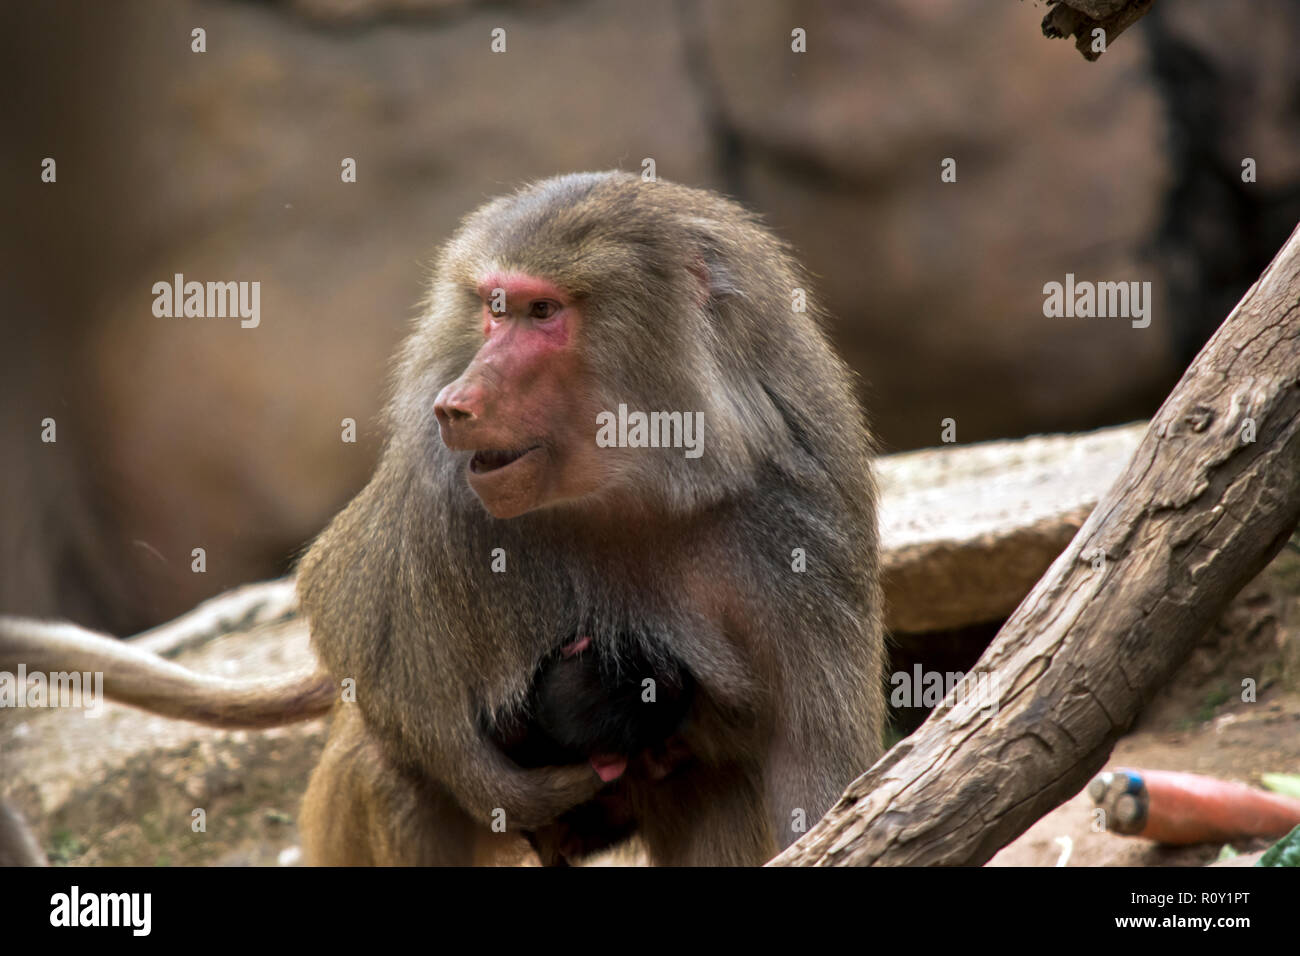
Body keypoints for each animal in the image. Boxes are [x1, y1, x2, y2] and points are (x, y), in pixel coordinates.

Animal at [0, 171, 884, 866]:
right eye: (495, 309)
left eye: (542, 312)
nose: (456, 403)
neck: (644, 486)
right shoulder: (441, 500)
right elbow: (357, 630)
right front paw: (518, 785)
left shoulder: (795, 522)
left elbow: (812, 771)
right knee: (388, 766)